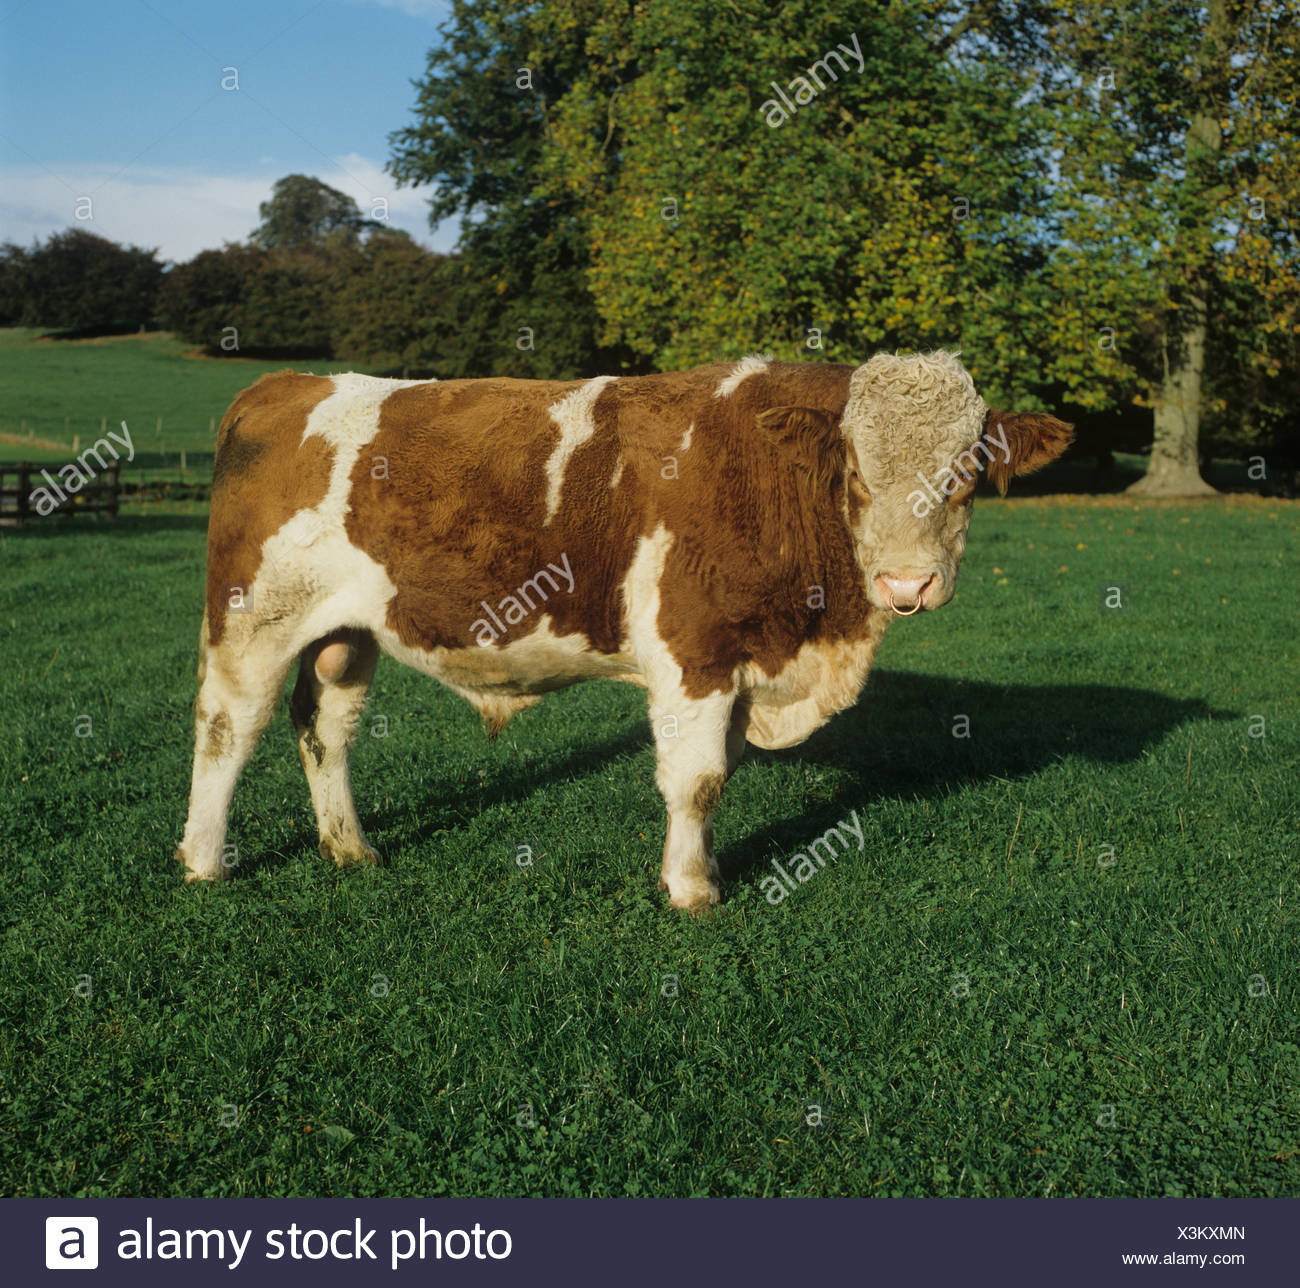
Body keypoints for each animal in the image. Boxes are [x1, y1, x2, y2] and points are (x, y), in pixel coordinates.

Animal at [176, 351, 1071, 911]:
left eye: (966, 472)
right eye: (855, 470)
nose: (907, 584)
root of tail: (288, 383)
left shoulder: (739, 667)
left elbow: (721, 773)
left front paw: (706, 865)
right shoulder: (693, 653)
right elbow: (697, 779)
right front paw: (692, 890)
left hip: (345, 632)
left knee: (326, 726)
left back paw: (350, 848)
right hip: (252, 617)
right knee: (228, 728)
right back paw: (203, 861)